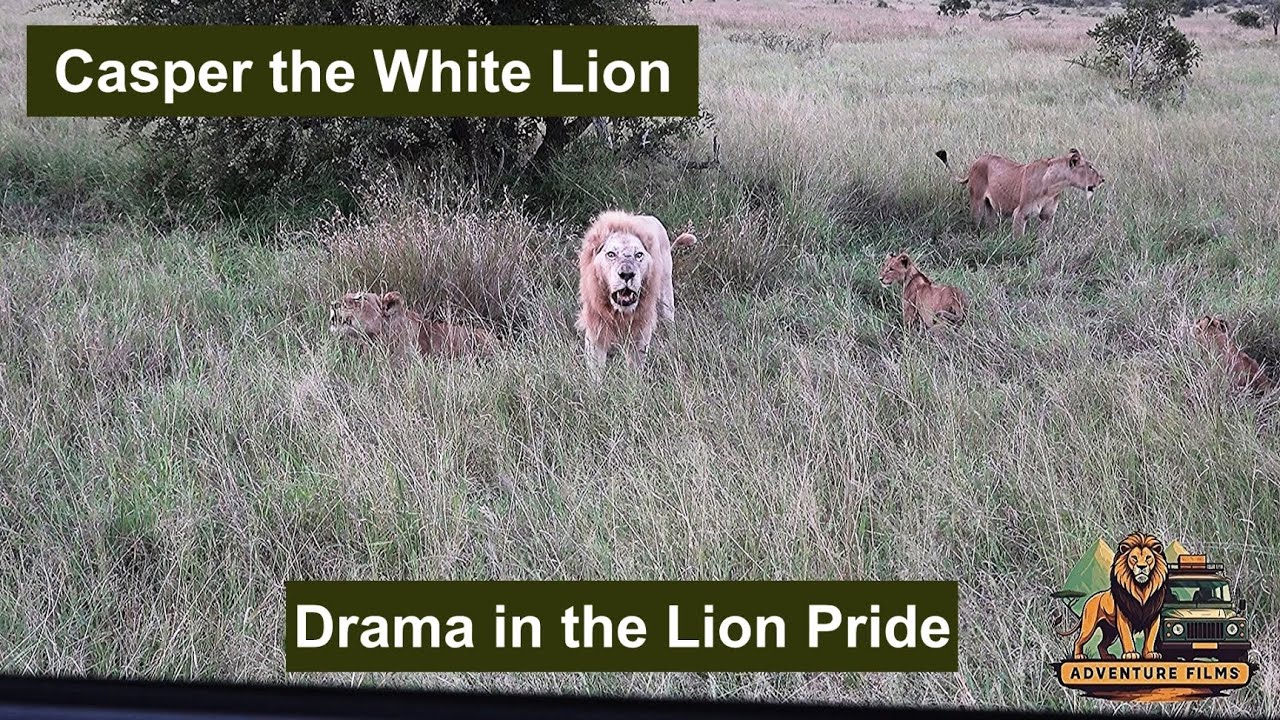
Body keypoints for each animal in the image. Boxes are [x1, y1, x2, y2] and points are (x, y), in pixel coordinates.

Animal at [576, 210, 697, 372]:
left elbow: (635, 366)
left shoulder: (640, 331)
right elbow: (595, 369)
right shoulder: (596, 329)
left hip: (666, 298)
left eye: (639, 255)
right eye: (611, 254)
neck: (619, 313)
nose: (627, 274)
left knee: (670, 327)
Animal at [935, 148, 1104, 237]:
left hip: (991, 207)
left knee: (990, 223)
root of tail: (976, 161)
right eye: (1090, 167)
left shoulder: (1047, 217)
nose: (1103, 179)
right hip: (977, 201)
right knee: (975, 222)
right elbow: (1019, 239)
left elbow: (1046, 238)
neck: (1054, 186)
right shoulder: (1020, 213)